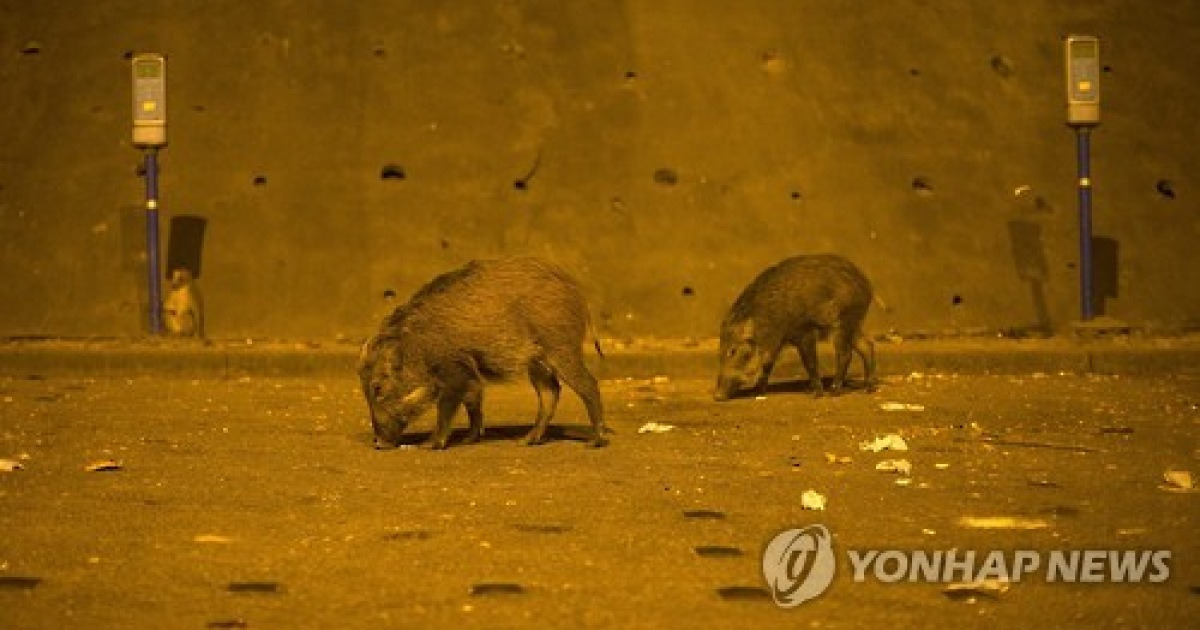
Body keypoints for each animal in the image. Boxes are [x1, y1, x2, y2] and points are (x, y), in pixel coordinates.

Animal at [359, 257, 607, 450]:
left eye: (377, 388)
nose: (378, 443)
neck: (417, 348)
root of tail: (578, 292)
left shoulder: (455, 371)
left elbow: (448, 407)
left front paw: (430, 444)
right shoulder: (471, 373)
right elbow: (473, 403)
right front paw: (469, 439)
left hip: (561, 348)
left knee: (588, 385)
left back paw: (594, 441)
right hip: (536, 362)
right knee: (551, 391)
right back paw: (526, 441)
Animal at [714, 254, 875, 401]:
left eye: (733, 351)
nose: (717, 396)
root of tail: (867, 285)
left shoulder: (804, 331)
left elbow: (810, 363)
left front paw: (816, 394)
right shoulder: (776, 343)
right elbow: (767, 366)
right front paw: (757, 392)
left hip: (842, 323)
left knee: (845, 354)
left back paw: (834, 391)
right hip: (854, 324)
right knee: (867, 345)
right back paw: (869, 388)